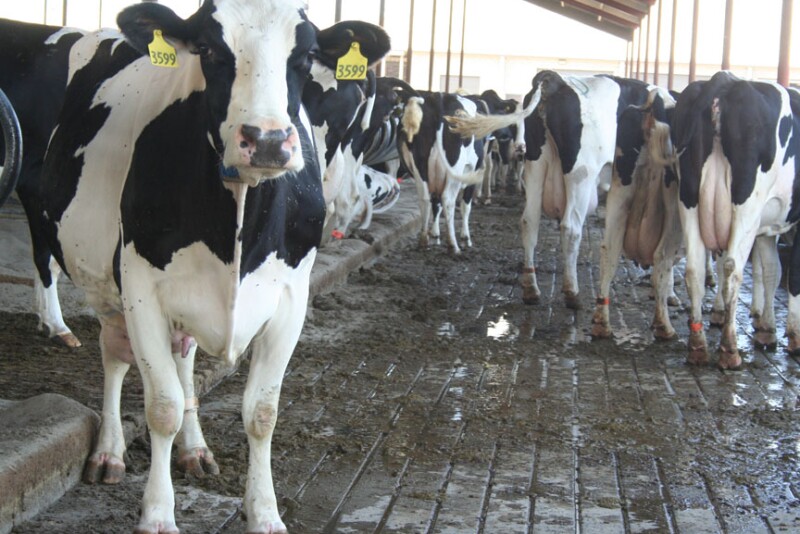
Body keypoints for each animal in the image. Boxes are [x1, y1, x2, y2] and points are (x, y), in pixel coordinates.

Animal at [21, 1, 389, 532]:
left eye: (304, 56)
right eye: (210, 51)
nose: (268, 140)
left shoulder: (290, 301)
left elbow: (262, 412)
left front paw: (264, 512)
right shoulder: (141, 291)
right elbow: (162, 407)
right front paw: (157, 513)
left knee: (185, 359)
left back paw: (194, 450)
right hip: (103, 283)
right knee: (114, 355)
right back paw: (109, 451)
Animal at [398, 90, 487, 254]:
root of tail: (438, 98)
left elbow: (436, 204)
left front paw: (435, 235)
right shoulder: (473, 174)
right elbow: (465, 206)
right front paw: (466, 238)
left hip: (420, 166)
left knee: (425, 199)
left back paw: (424, 241)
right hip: (453, 168)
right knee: (448, 200)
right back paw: (453, 245)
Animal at [448, 71, 656, 308]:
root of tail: (552, 78)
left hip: (536, 165)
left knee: (529, 221)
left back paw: (531, 289)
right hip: (580, 174)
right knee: (571, 227)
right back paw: (572, 292)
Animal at [672, 71, 800, 369]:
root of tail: (725, 82)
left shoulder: (768, 228)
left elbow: (772, 269)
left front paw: (767, 329)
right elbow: (793, 275)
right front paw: (793, 336)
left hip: (689, 196)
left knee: (695, 268)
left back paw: (698, 346)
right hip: (746, 203)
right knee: (732, 268)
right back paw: (729, 349)